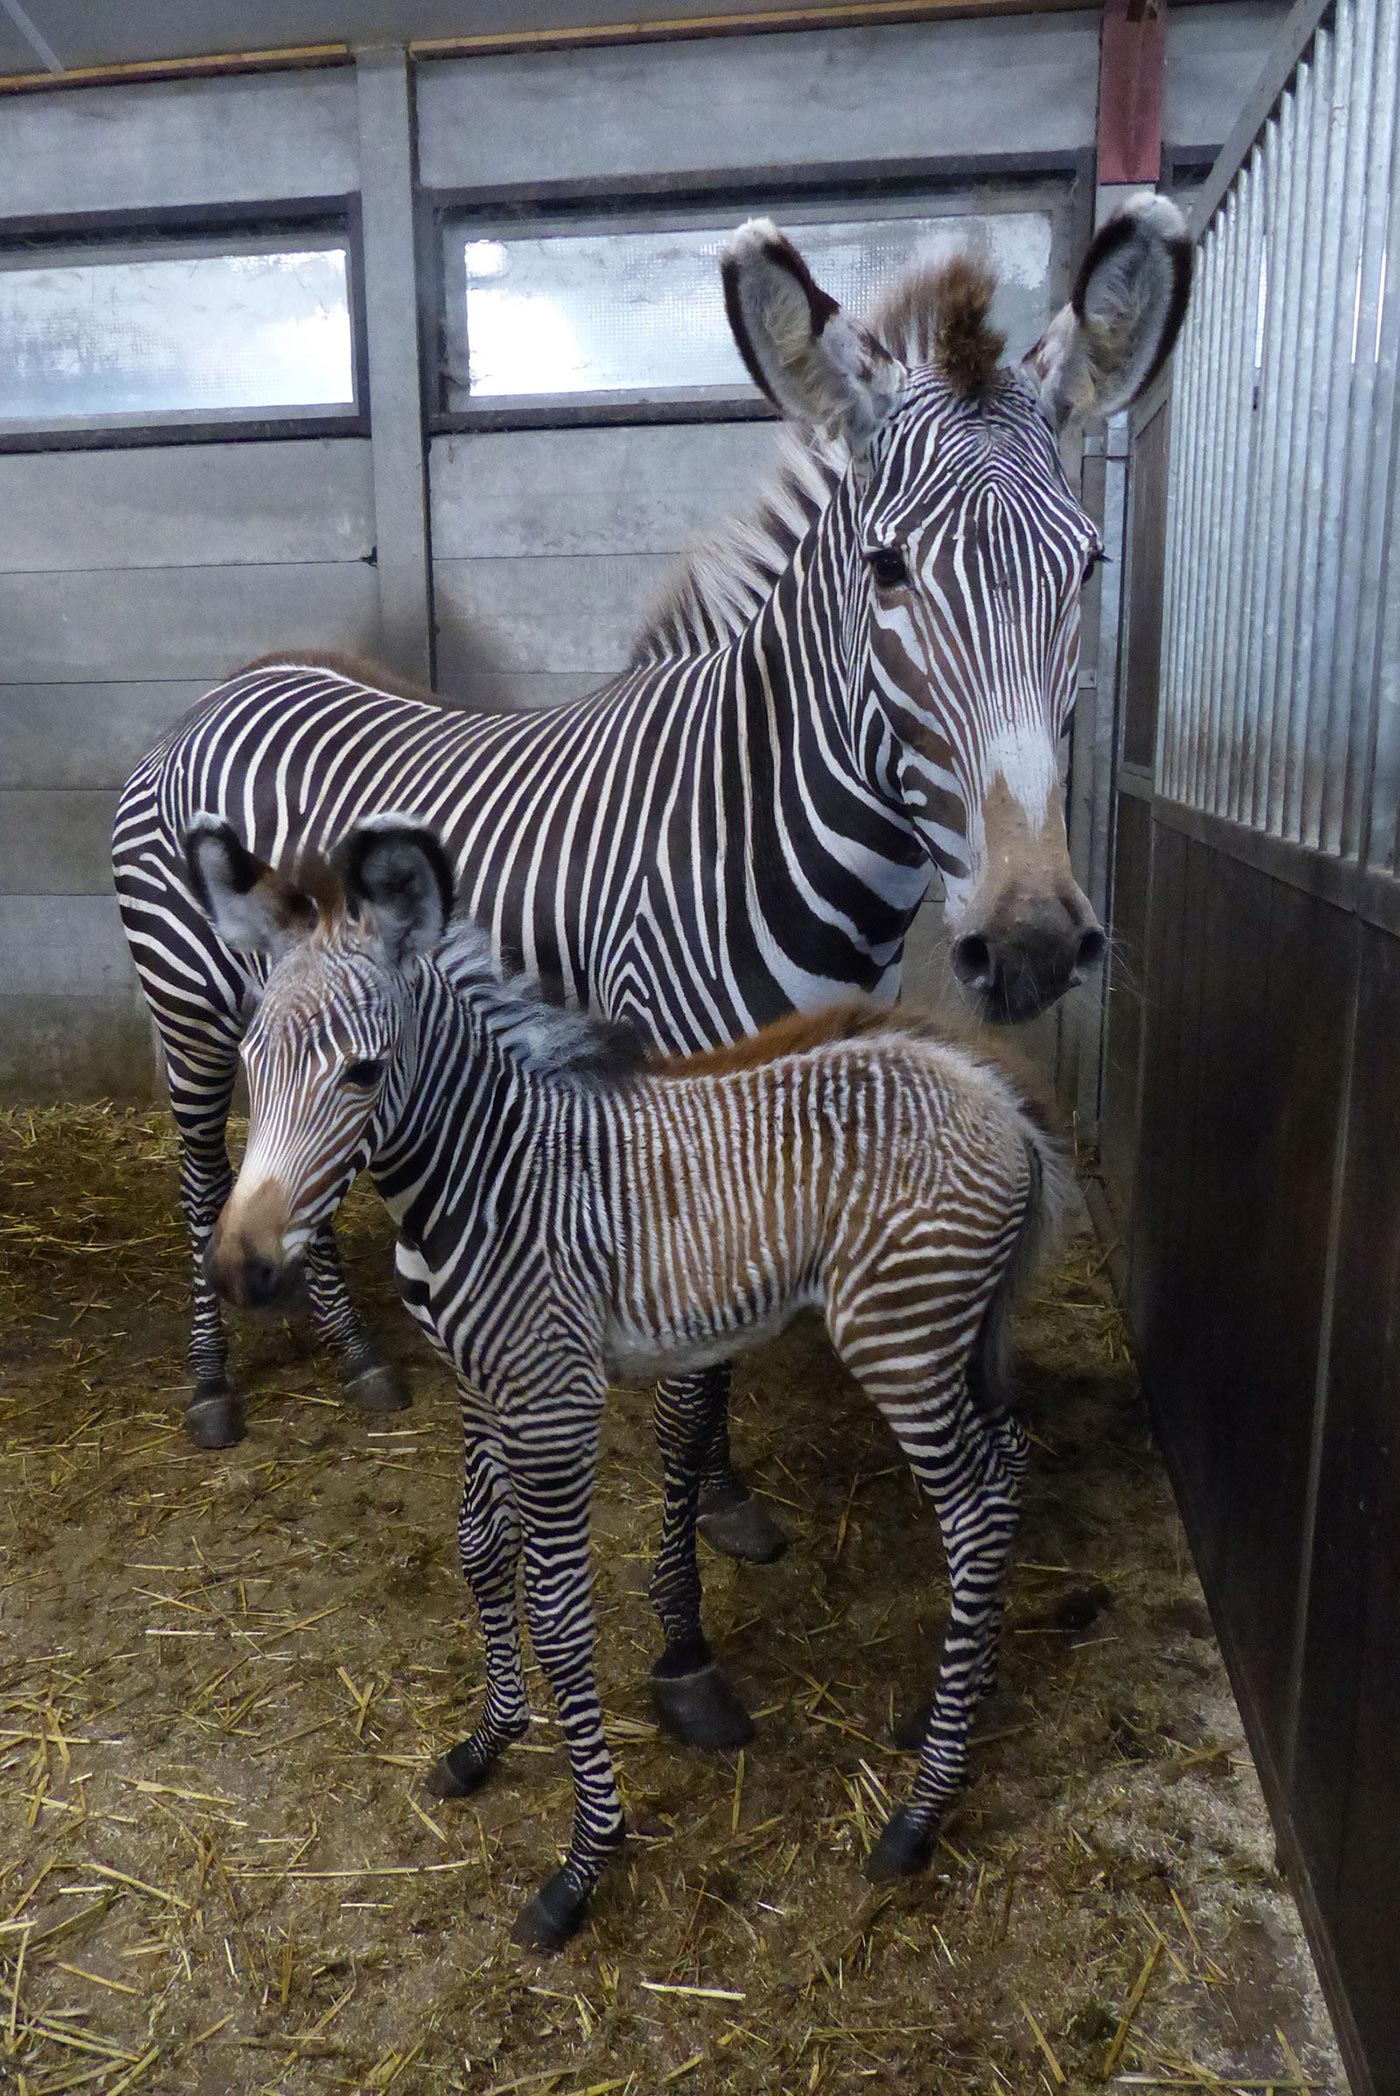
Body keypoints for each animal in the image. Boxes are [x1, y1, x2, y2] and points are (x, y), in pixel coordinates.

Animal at [112, 197, 1191, 1549]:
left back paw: (356, 1357)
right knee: (207, 1173)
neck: (767, 819)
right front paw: (704, 1501)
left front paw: (721, 1490)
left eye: (1087, 563)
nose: (1034, 937)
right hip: (193, 1011)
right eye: (885, 569)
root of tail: (225, 688)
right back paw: (213, 1382)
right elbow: (691, 1351)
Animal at [187, 812, 1073, 1951]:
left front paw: (582, 1862)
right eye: (250, 1062)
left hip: (901, 1337)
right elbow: (479, 1555)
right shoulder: (485, 1384)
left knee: (969, 1510)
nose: (239, 1270)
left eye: (362, 1072)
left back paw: (921, 1812)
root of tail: (992, 1091)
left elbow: (563, 1618)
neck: (489, 1172)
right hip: (949, 1331)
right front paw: (486, 1741)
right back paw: (956, 1700)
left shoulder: (554, 1398)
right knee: (1003, 1473)